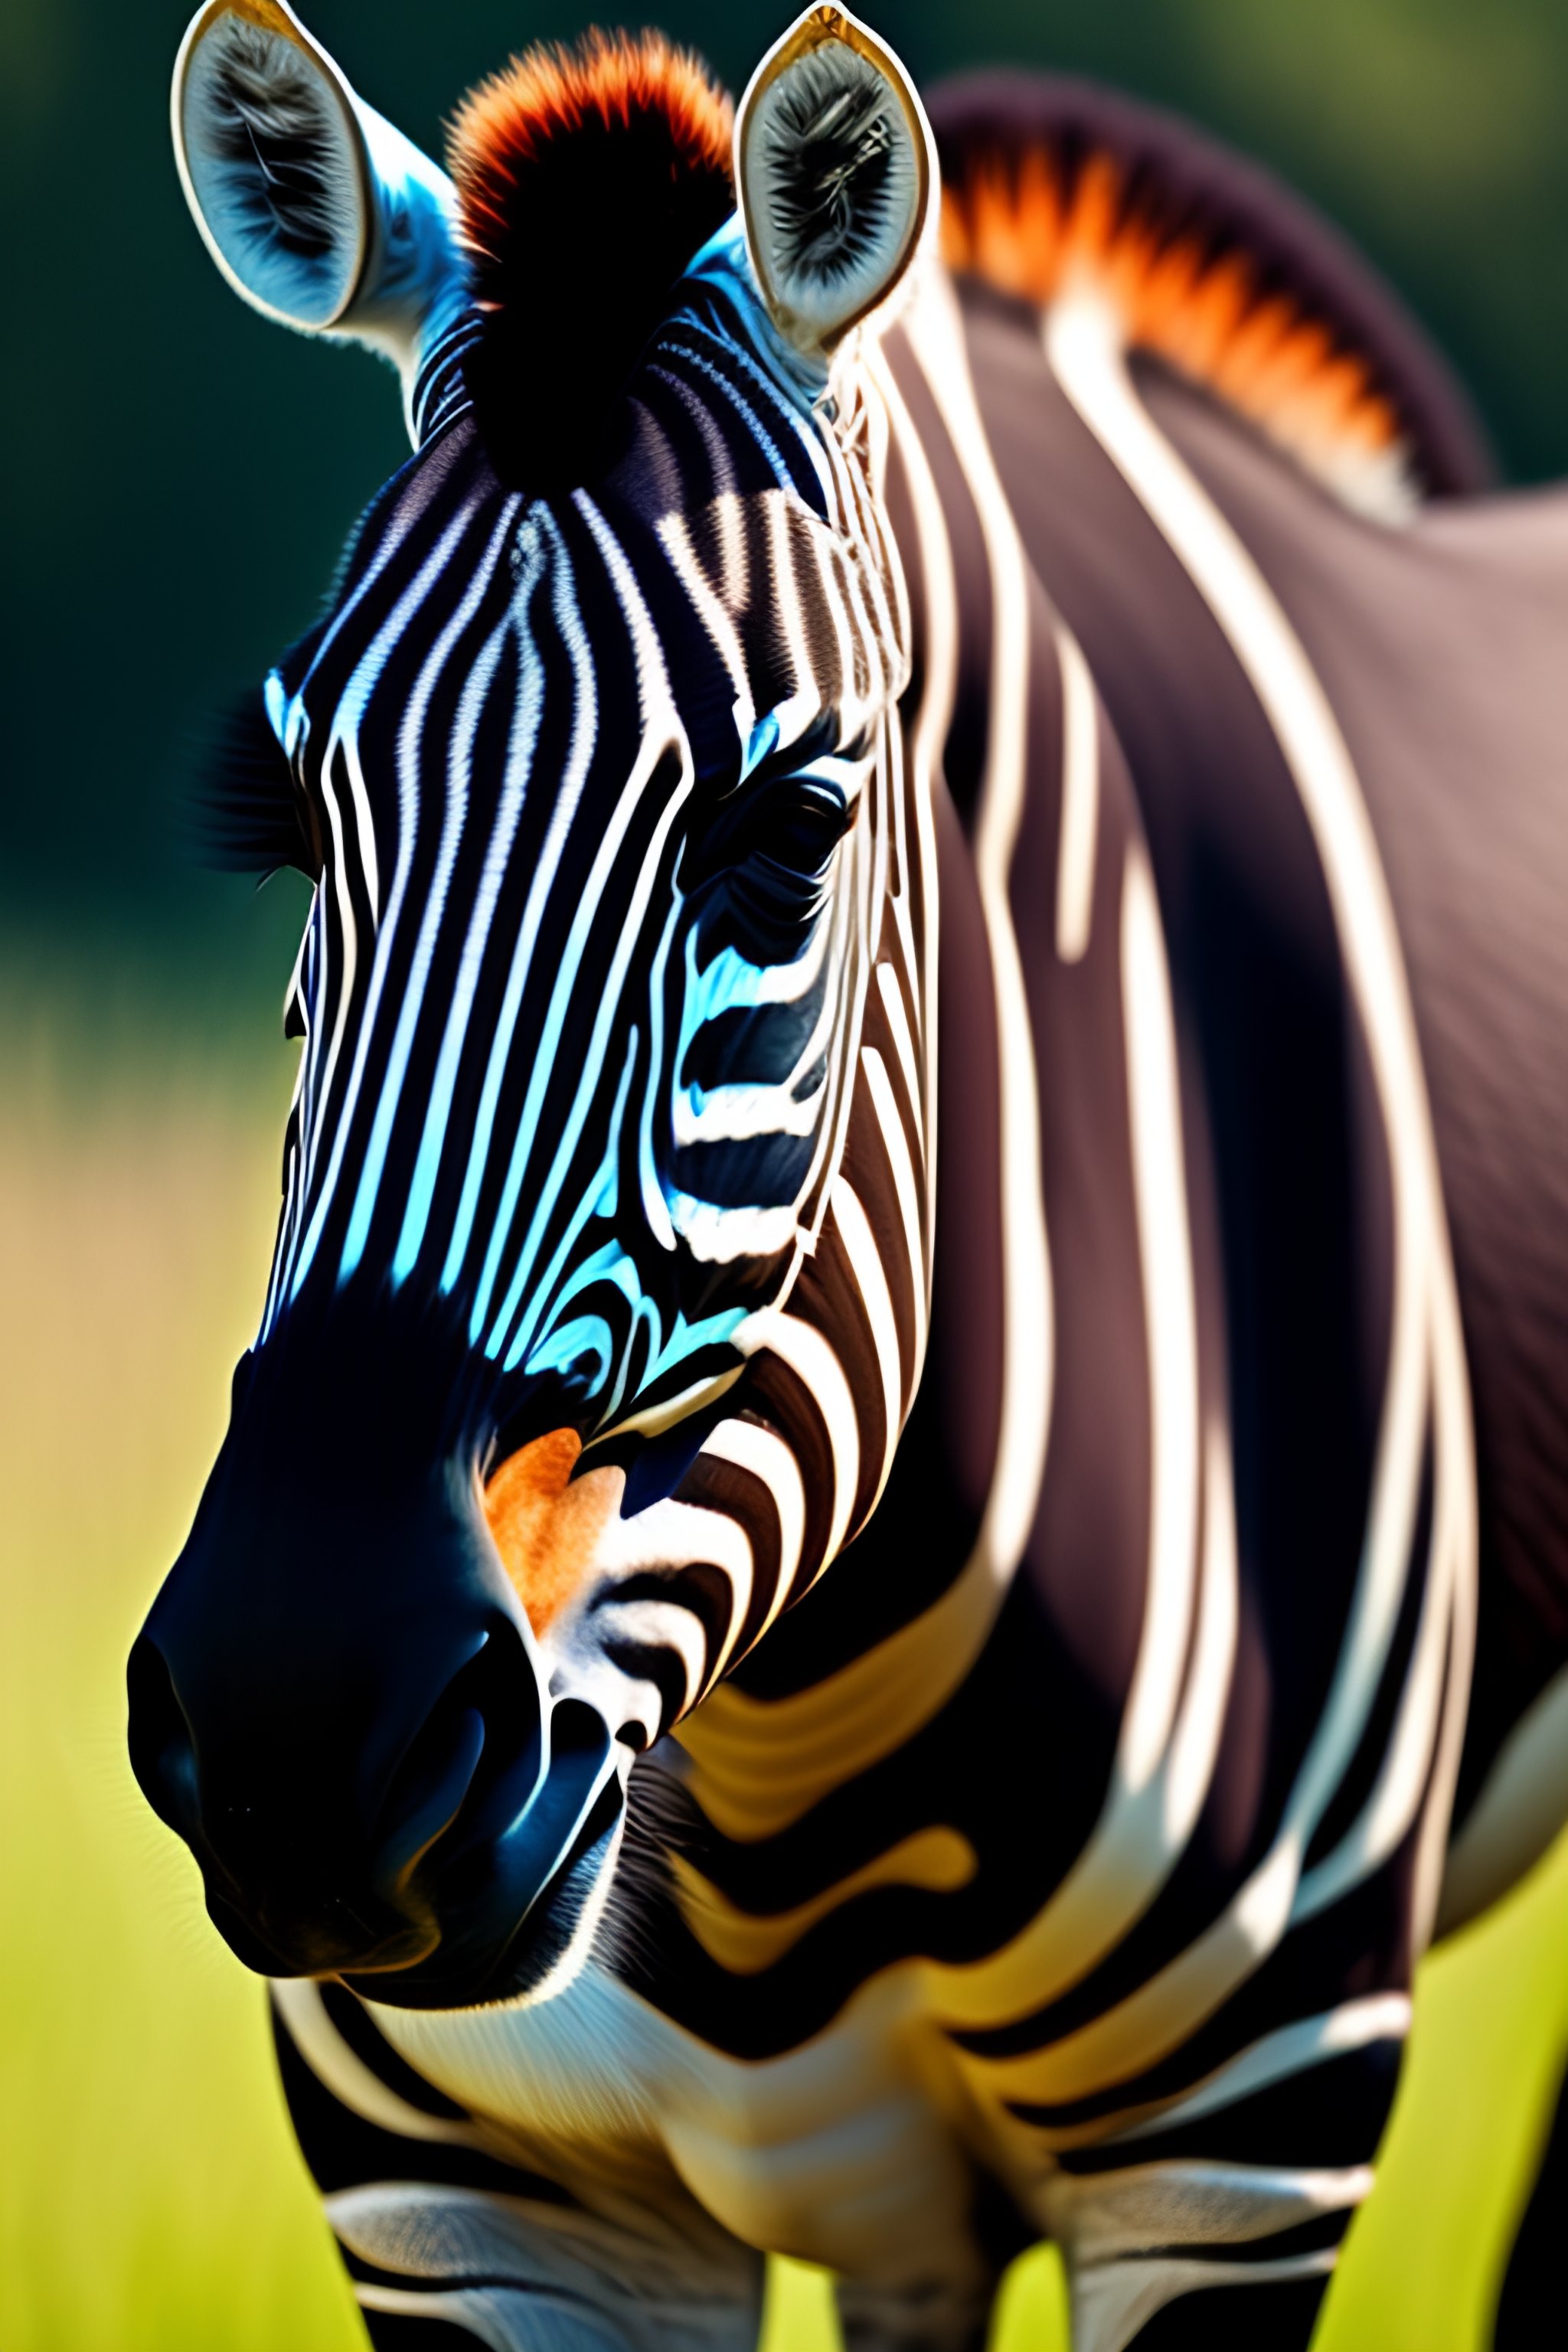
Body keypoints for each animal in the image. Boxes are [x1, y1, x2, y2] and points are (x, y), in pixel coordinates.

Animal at [127, 3, 1568, 2346]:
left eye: (789, 836)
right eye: (287, 818)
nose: (296, 1743)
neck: (801, 1764)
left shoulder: (1245, 2146)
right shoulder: (478, 2194)